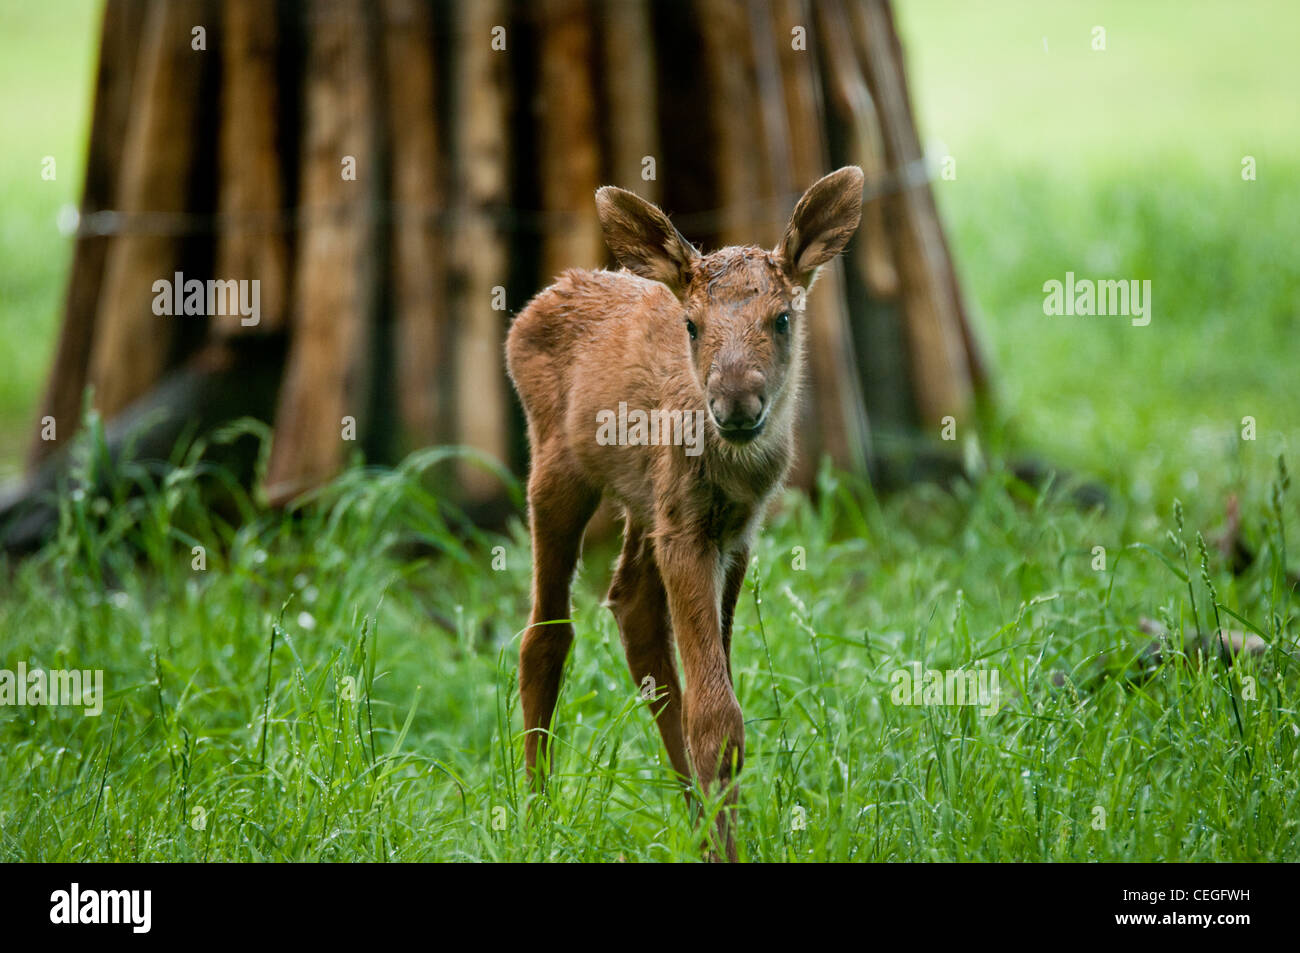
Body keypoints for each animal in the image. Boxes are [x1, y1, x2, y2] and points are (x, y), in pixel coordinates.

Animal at [505, 166, 864, 861]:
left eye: (783, 317)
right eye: (692, 325)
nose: (736, 403)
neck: (734, 468)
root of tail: (539, 301)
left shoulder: (736, 532)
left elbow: (718, 704)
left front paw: (721, 835)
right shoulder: (687, 529)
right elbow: (716, 716)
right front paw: (726, 848)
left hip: (646, 504)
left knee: (632, 609)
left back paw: (689, 818)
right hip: (559, 472)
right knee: (546, 633)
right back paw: (533, 814)